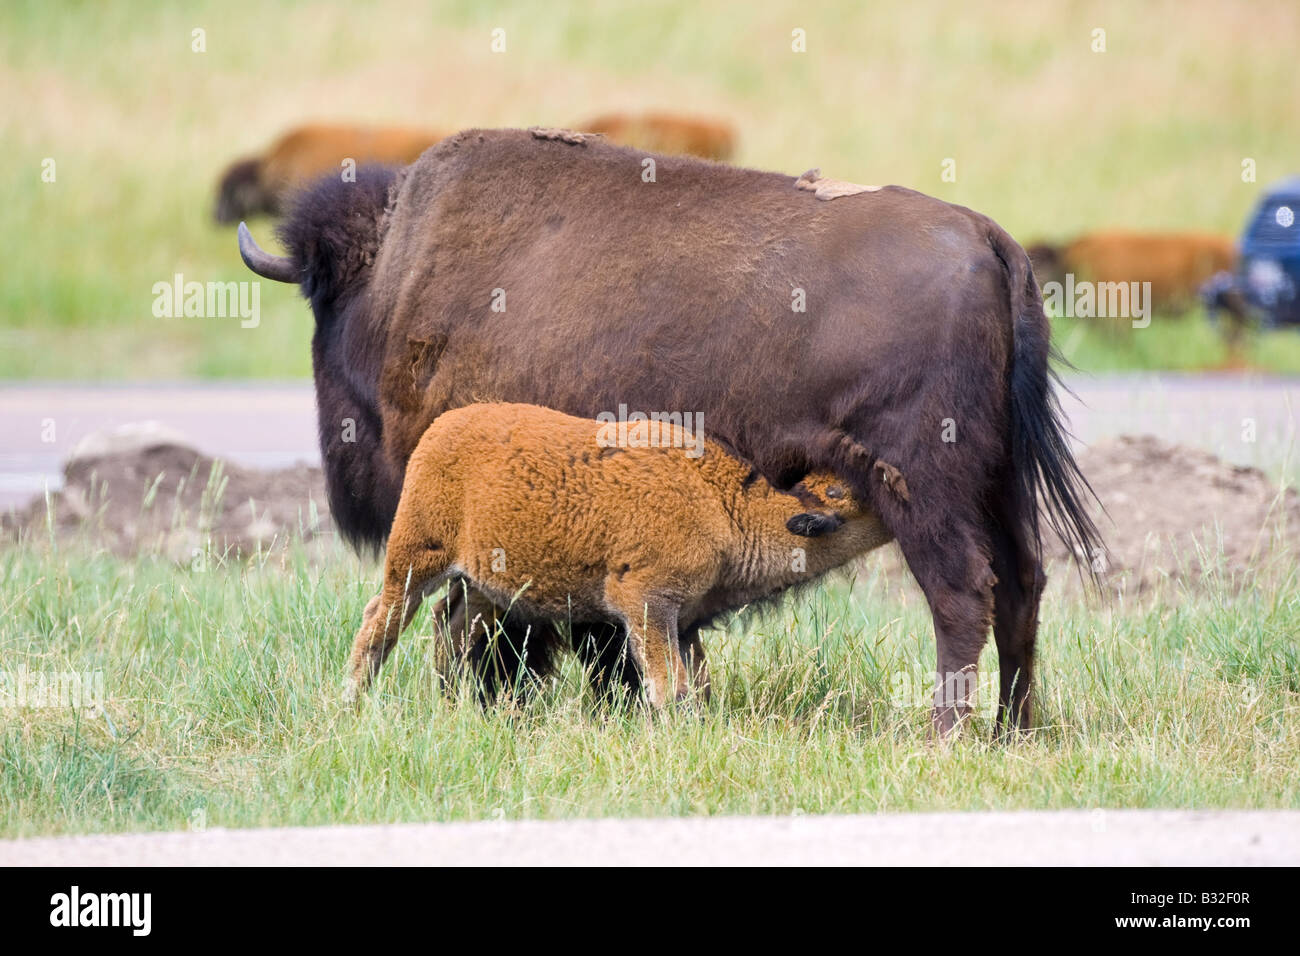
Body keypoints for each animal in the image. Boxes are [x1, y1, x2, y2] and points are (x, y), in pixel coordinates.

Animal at [237, 128, 1102, 734]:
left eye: (322, 312)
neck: (395, 280)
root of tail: (991, 243)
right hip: (1003, 485)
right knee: (1023, 586)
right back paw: (1013, 732)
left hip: (923, 490)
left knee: (962, 593)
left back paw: (944, 734)